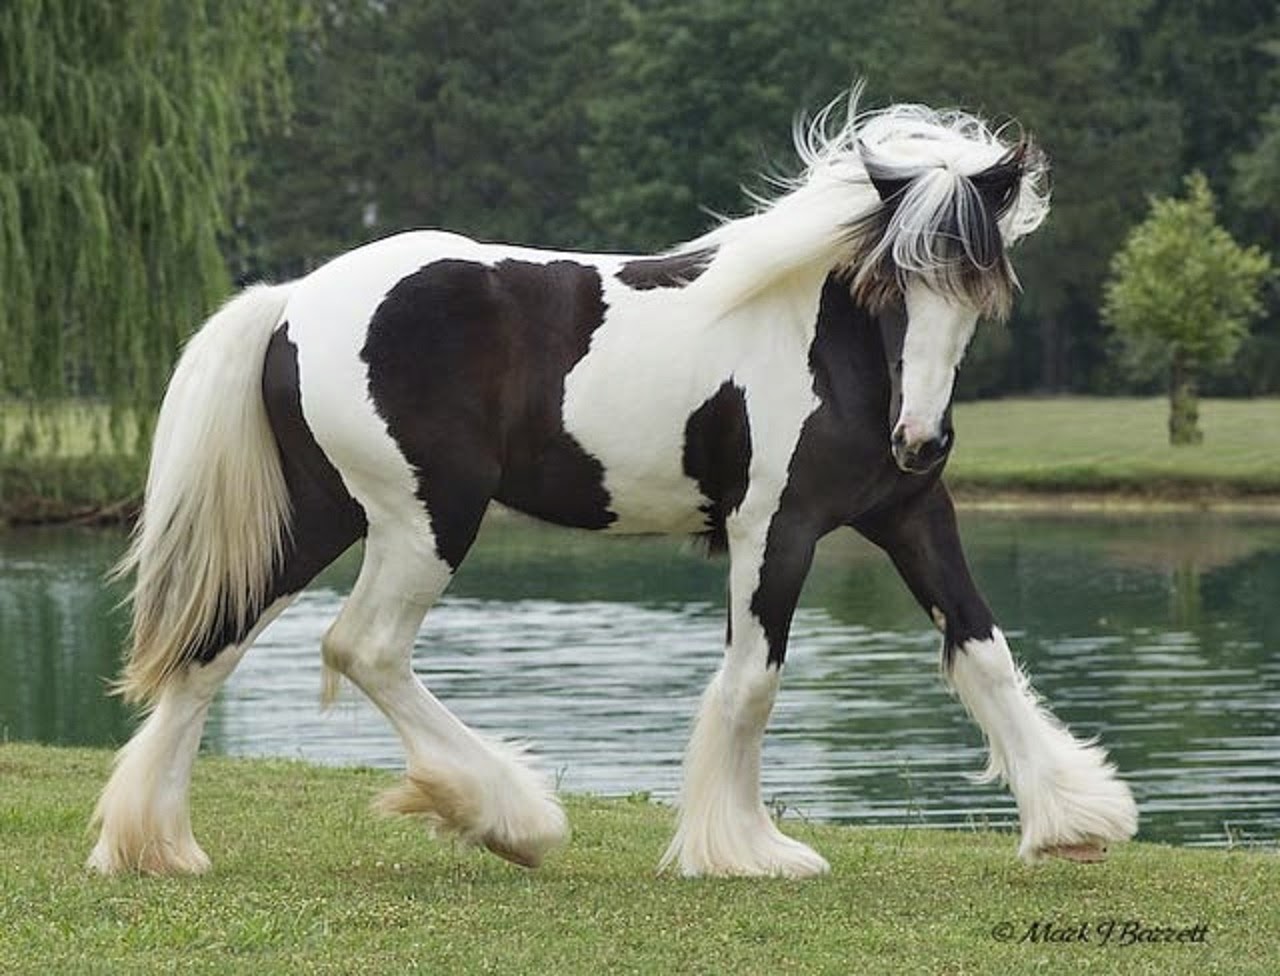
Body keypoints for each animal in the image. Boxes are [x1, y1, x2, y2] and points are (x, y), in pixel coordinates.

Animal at [88, 93, 1138, 878]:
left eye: (979, 285)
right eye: (890, 283)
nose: (920, 436)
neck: (824, 342)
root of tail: (295, 300)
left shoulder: (913, 513)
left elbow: (981, 650)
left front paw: (1073, 819)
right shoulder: (776, 528)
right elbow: (752, 682)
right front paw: (745, 851)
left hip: (322, 514)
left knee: (214, 643)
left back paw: (154, 846)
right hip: (426, 519)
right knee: (364, 649)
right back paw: (513, 819)